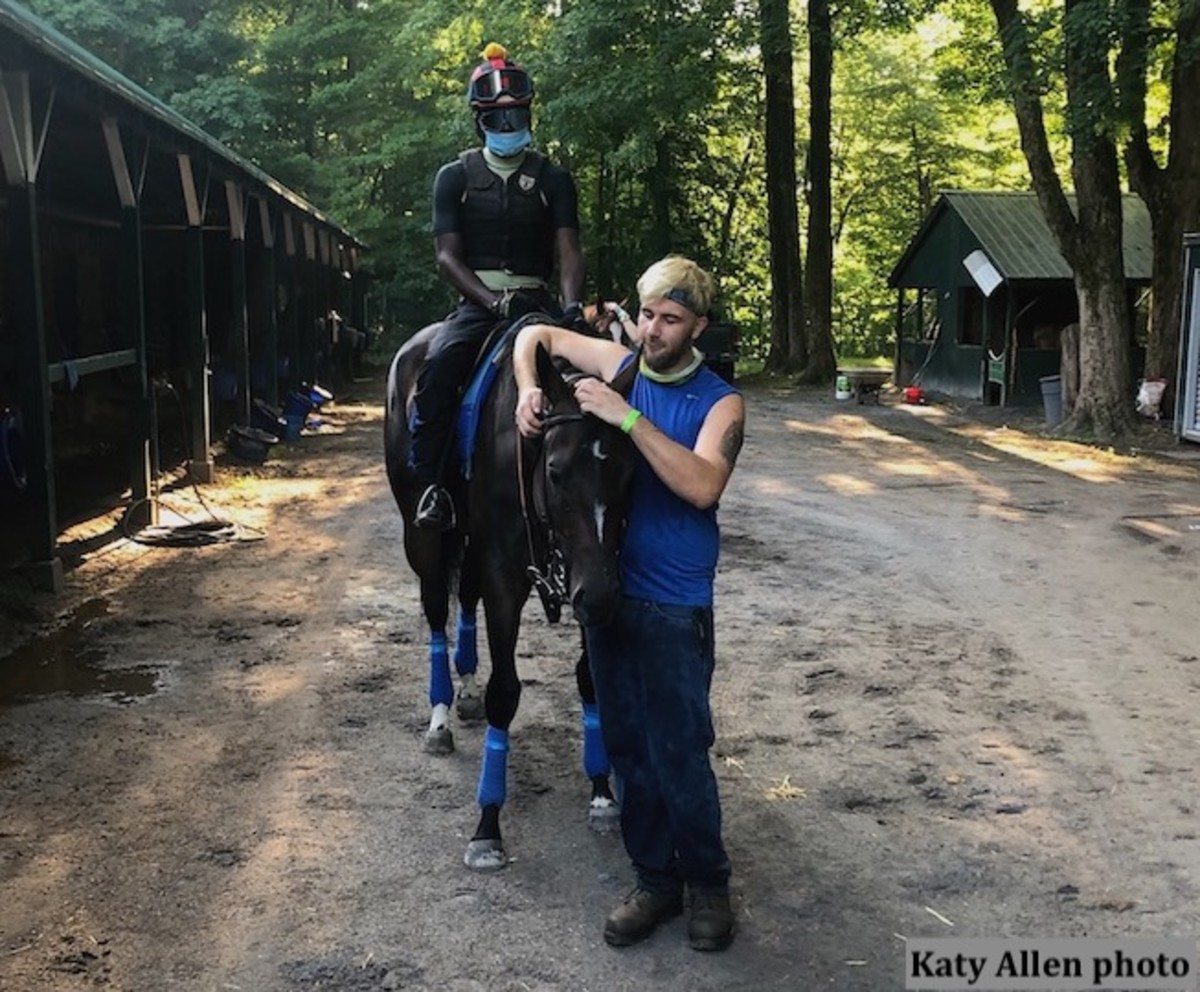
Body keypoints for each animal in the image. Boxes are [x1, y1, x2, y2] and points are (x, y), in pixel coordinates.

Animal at [384, 317, 637, 870]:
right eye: (556, 472)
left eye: (630, 474)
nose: (603, 599)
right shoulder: (505, 579)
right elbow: (505, 693)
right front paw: (487, 825)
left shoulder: (589, 578)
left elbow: (590, 679)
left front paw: (602, 791)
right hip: (423, 537)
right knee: (435, 609)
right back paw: (440, 717)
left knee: (464, 598)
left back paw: (466, 686)